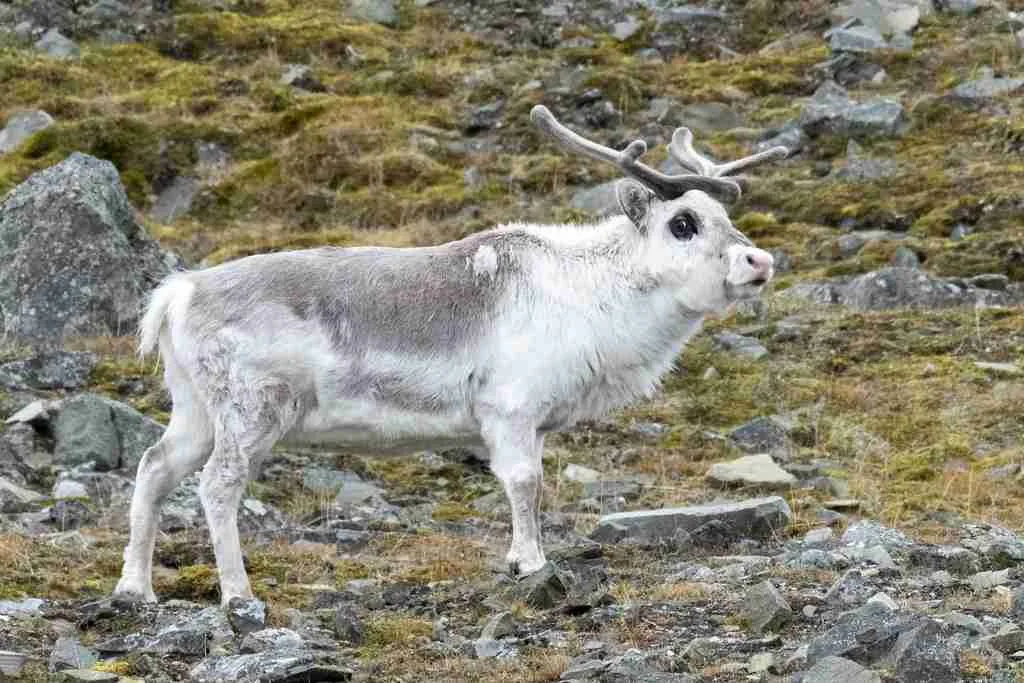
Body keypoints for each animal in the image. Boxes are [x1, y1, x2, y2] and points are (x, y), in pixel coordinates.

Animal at [113, 106, 787, 606]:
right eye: (683, 223)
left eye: (726, 217)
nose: (760, 261)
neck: (594, 291)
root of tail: (179, 293)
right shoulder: (509, 410)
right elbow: (524, 483)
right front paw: (530, 563)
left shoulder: (535, 422)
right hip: (252, 410)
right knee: (216, 486)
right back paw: (238, 595)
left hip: (196, 409)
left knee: (154, 466)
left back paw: (135, 589)